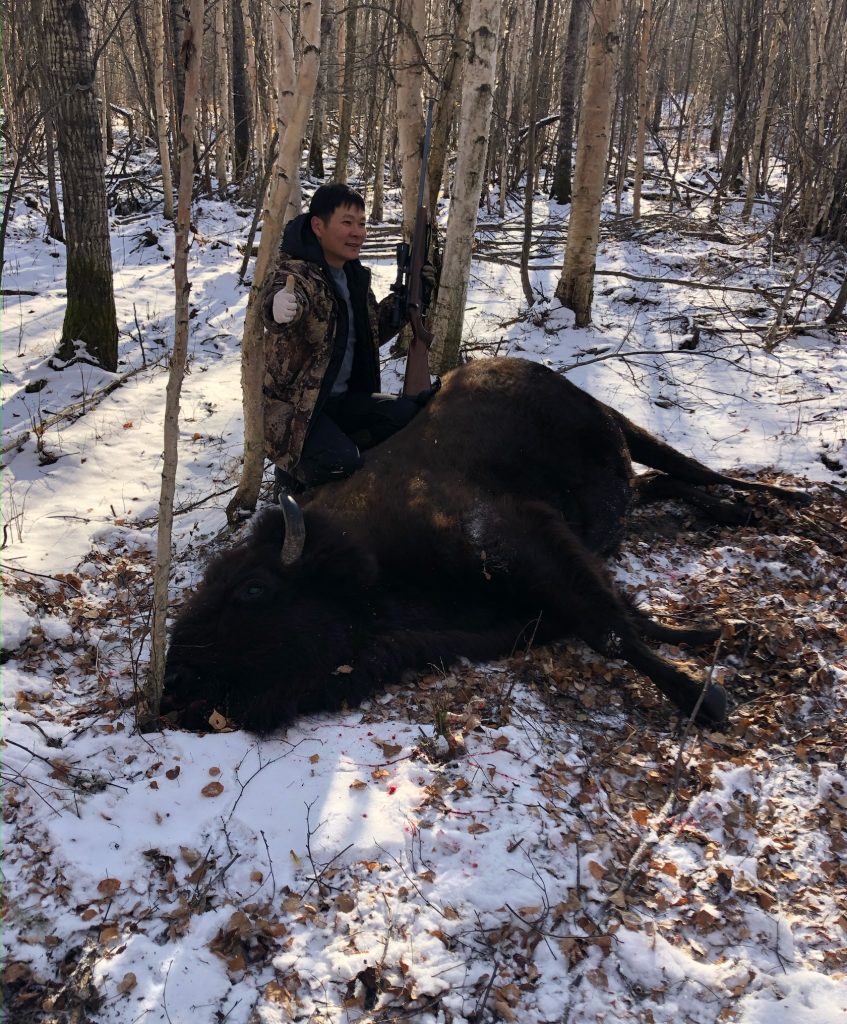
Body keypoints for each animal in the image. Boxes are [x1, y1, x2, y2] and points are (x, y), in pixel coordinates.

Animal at [162, 357, 808, 735]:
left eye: (252, 589)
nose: (173, 676)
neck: (367, 558)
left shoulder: (528, 541)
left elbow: (614, 629)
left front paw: (707, 695)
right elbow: (622, 619)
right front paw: (712, 635)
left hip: (626, 429)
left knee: (693, 468)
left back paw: (779, 502)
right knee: (664, 484)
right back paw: (737, 513)